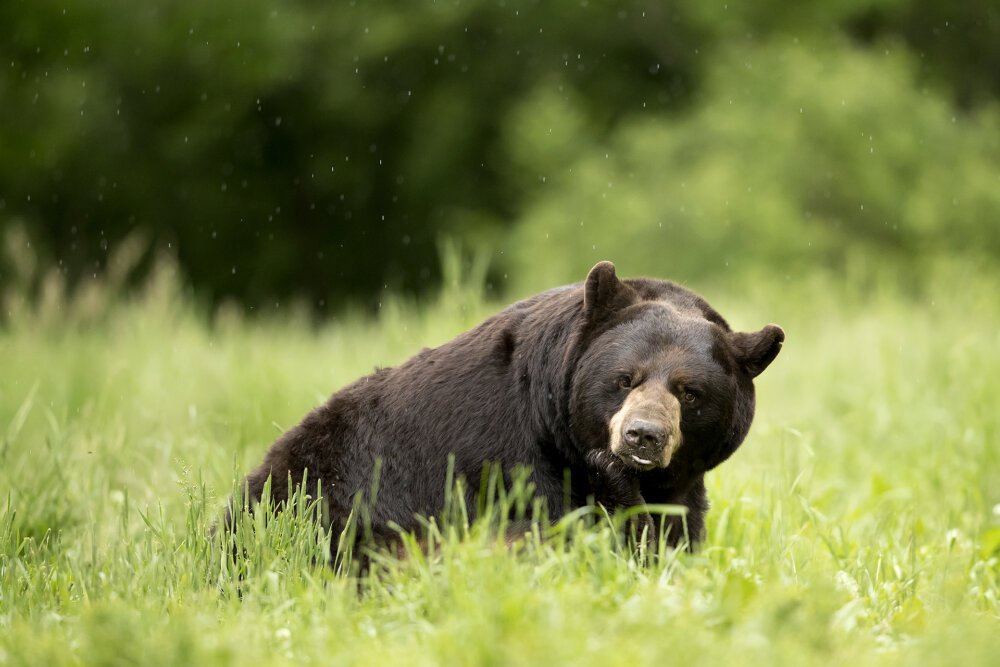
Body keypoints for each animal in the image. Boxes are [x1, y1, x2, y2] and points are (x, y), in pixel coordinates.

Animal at [225, 261, 783, 552]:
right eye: (625, 379)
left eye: (690, 392)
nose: (642, 436)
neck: (557, 429)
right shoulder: (505, 461)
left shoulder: (683, 484)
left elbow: (673, 535)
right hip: (315, 502)